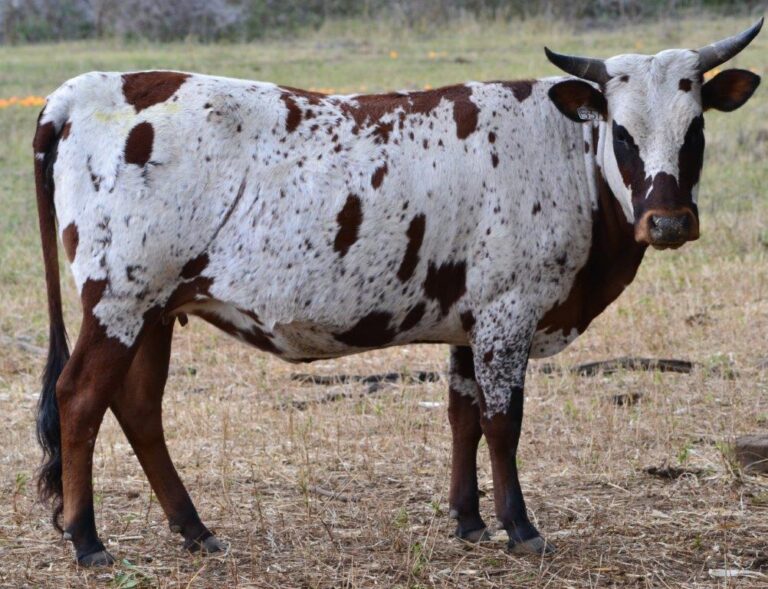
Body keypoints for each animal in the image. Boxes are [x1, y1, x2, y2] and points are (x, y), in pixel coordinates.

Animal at [33, 20, 762, 566]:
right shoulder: (508, 313)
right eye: (622, 132)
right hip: (119, 301)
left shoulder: (471, 322)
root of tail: (83, 89)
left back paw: (194, 529)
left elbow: (464, 416)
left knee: (138, 409)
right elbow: (503, 423)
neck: (564, 152)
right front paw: (520, 528)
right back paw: (88, 540)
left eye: (695, 129)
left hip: (155, 309)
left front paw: (469, 520)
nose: (667, 222)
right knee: (81, 399)